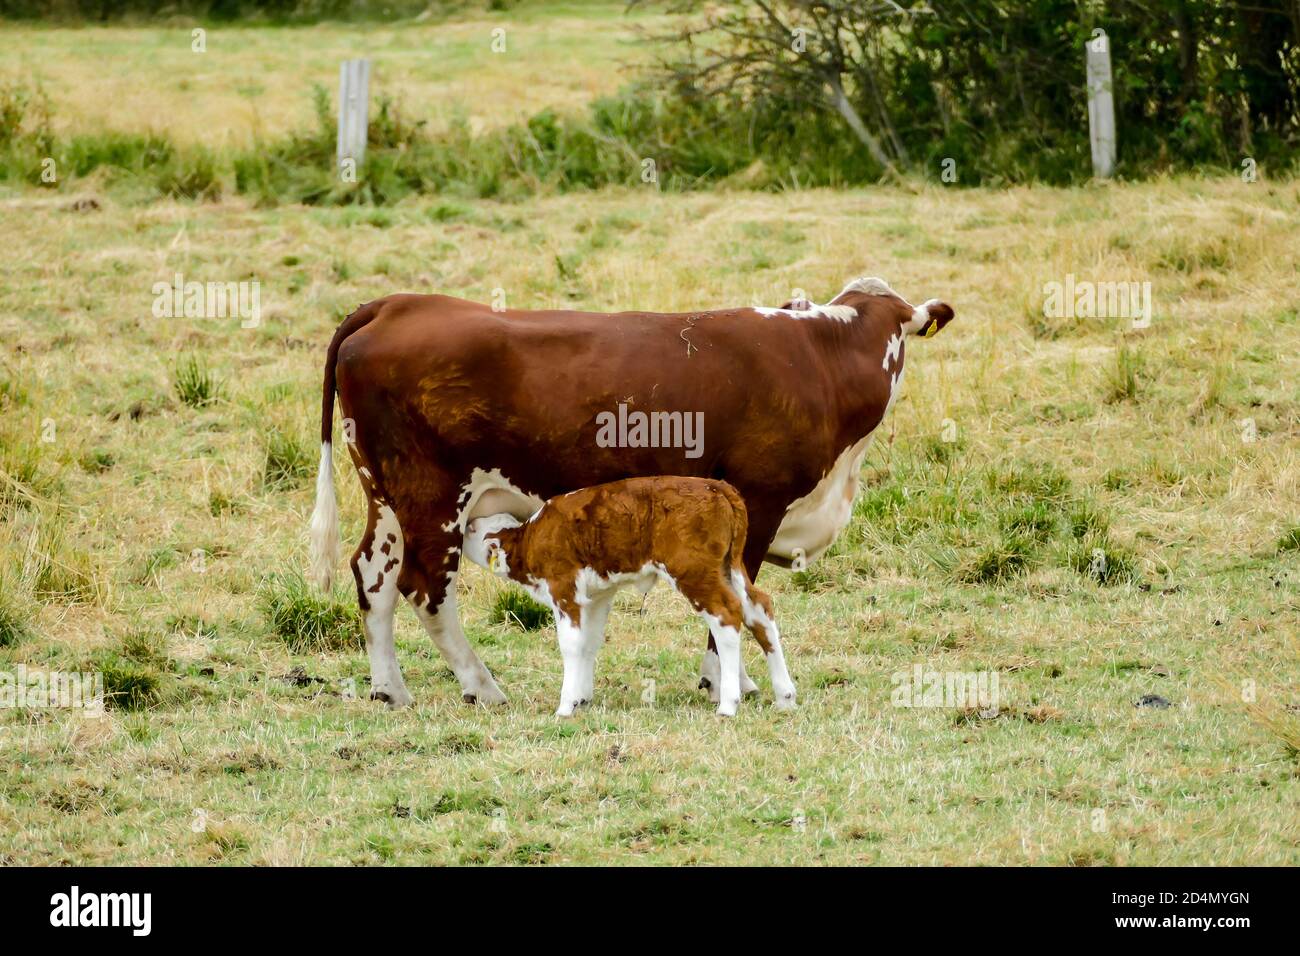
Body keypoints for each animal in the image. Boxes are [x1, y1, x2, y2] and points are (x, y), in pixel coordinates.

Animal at [463, 476, 796, 717]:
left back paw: (728, 704)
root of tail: (719, 487)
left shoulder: (564, 587)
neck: (530, 540)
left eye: (471, 530)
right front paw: (582, 699)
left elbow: (571, 644)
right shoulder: (597, 595)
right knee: (759, 609)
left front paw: (565, 706)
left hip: (694, 570)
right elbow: (589, 643)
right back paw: (785, 696)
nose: (465, 524)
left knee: (726, 616)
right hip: (730, 566)